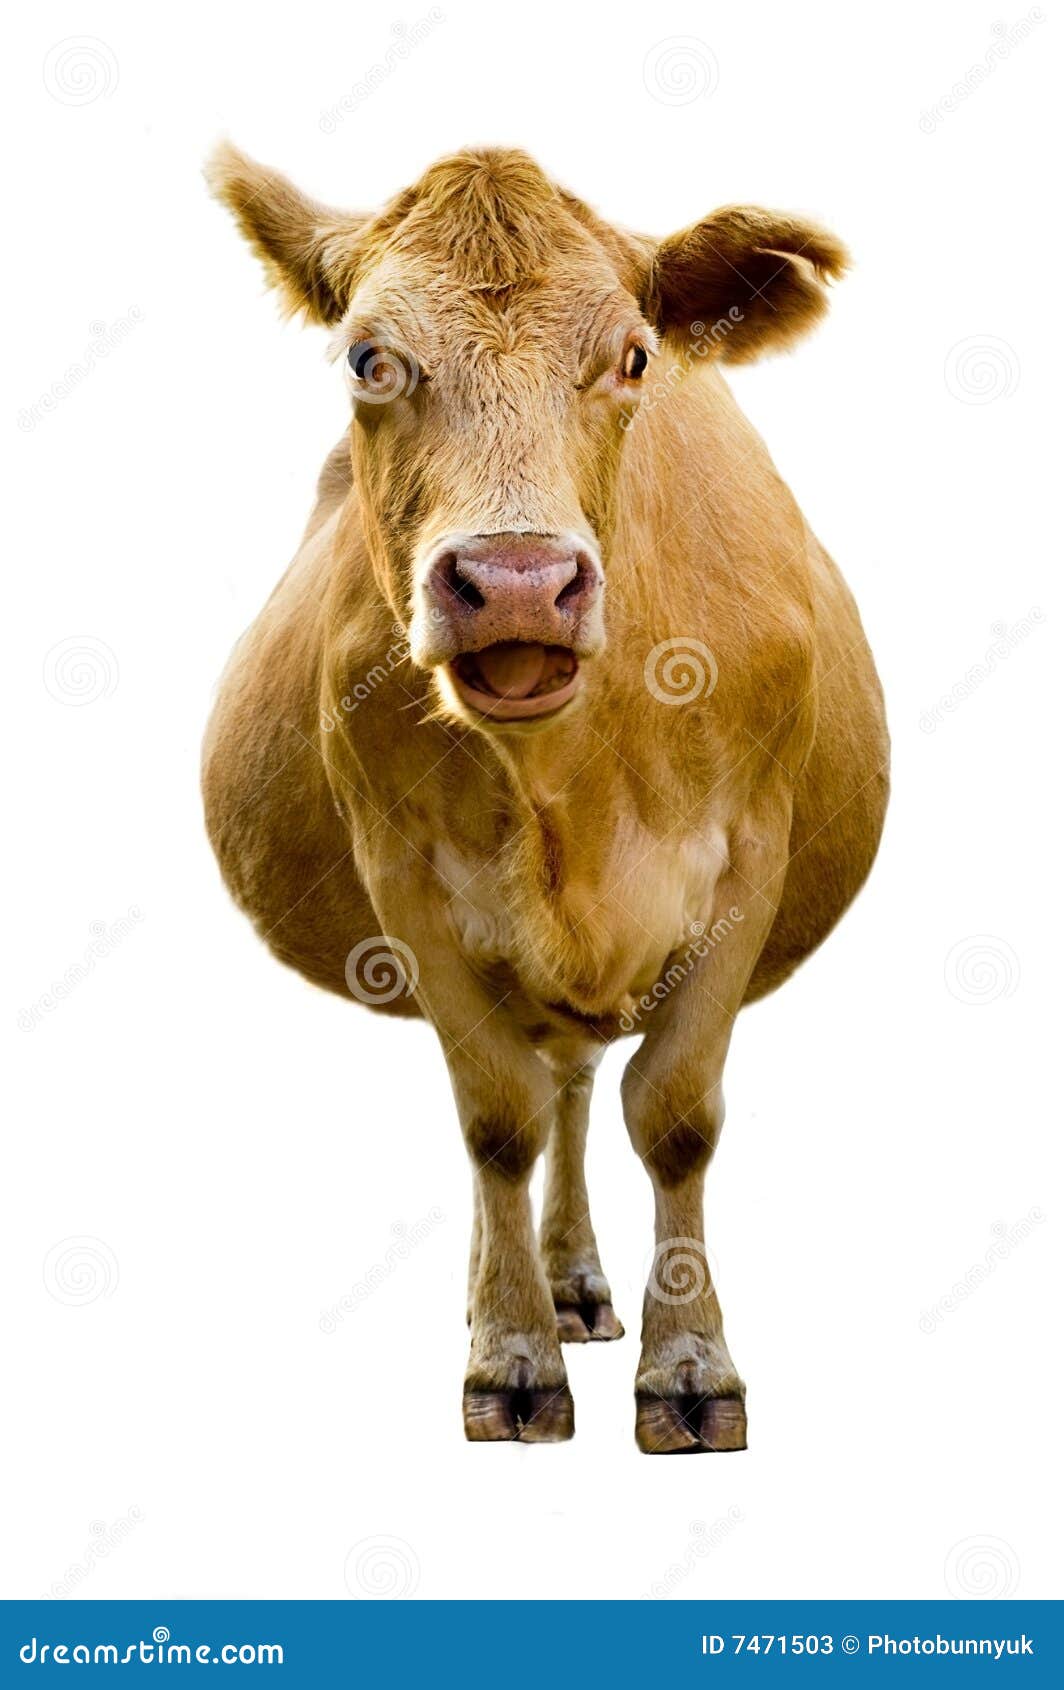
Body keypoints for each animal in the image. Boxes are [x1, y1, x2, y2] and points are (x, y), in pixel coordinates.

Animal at [202, 144, 888, 1452]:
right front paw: (510, 1358)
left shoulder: (747, 858)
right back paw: (519, 1293)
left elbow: (671, 1112)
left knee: (572, 1077)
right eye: (368, 357)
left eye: (632, 357)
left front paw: (689, 1370)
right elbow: (493, 1119)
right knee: (526, 1097)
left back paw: (572, 1285)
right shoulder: (403, 882)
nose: (516, 581)